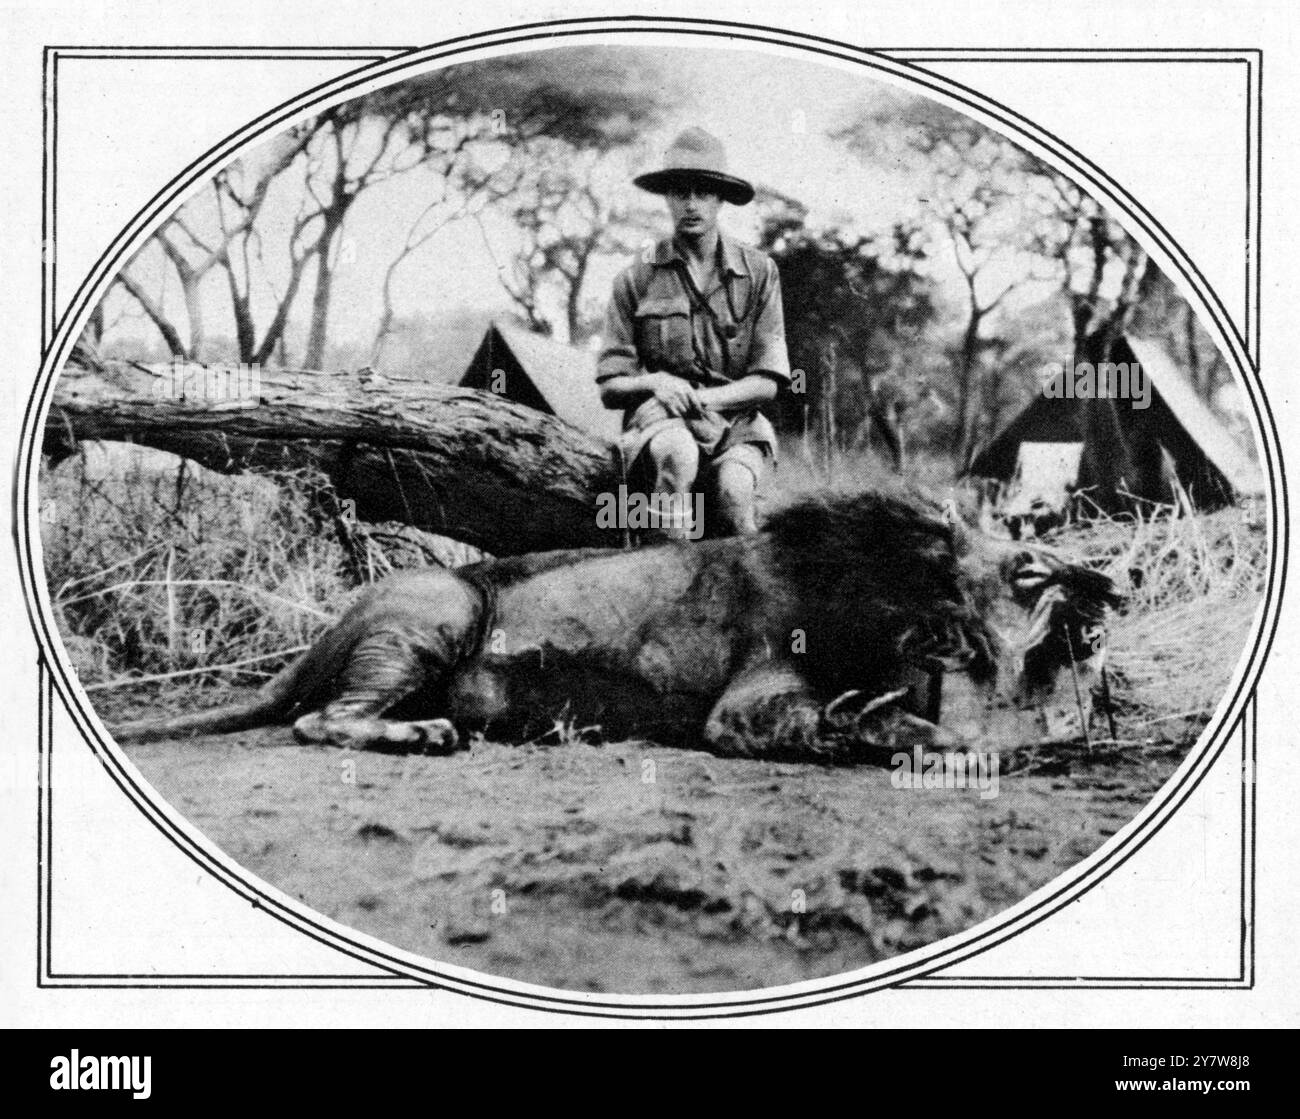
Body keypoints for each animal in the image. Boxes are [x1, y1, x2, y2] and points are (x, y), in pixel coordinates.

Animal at [108, 489, 1121, 760]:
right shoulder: (742, 709)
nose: (1114, 581)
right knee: (322, 718)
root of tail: (334, 621)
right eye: (1031, 567)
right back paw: (423, 733)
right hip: (439, 609)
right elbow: (875, 723)